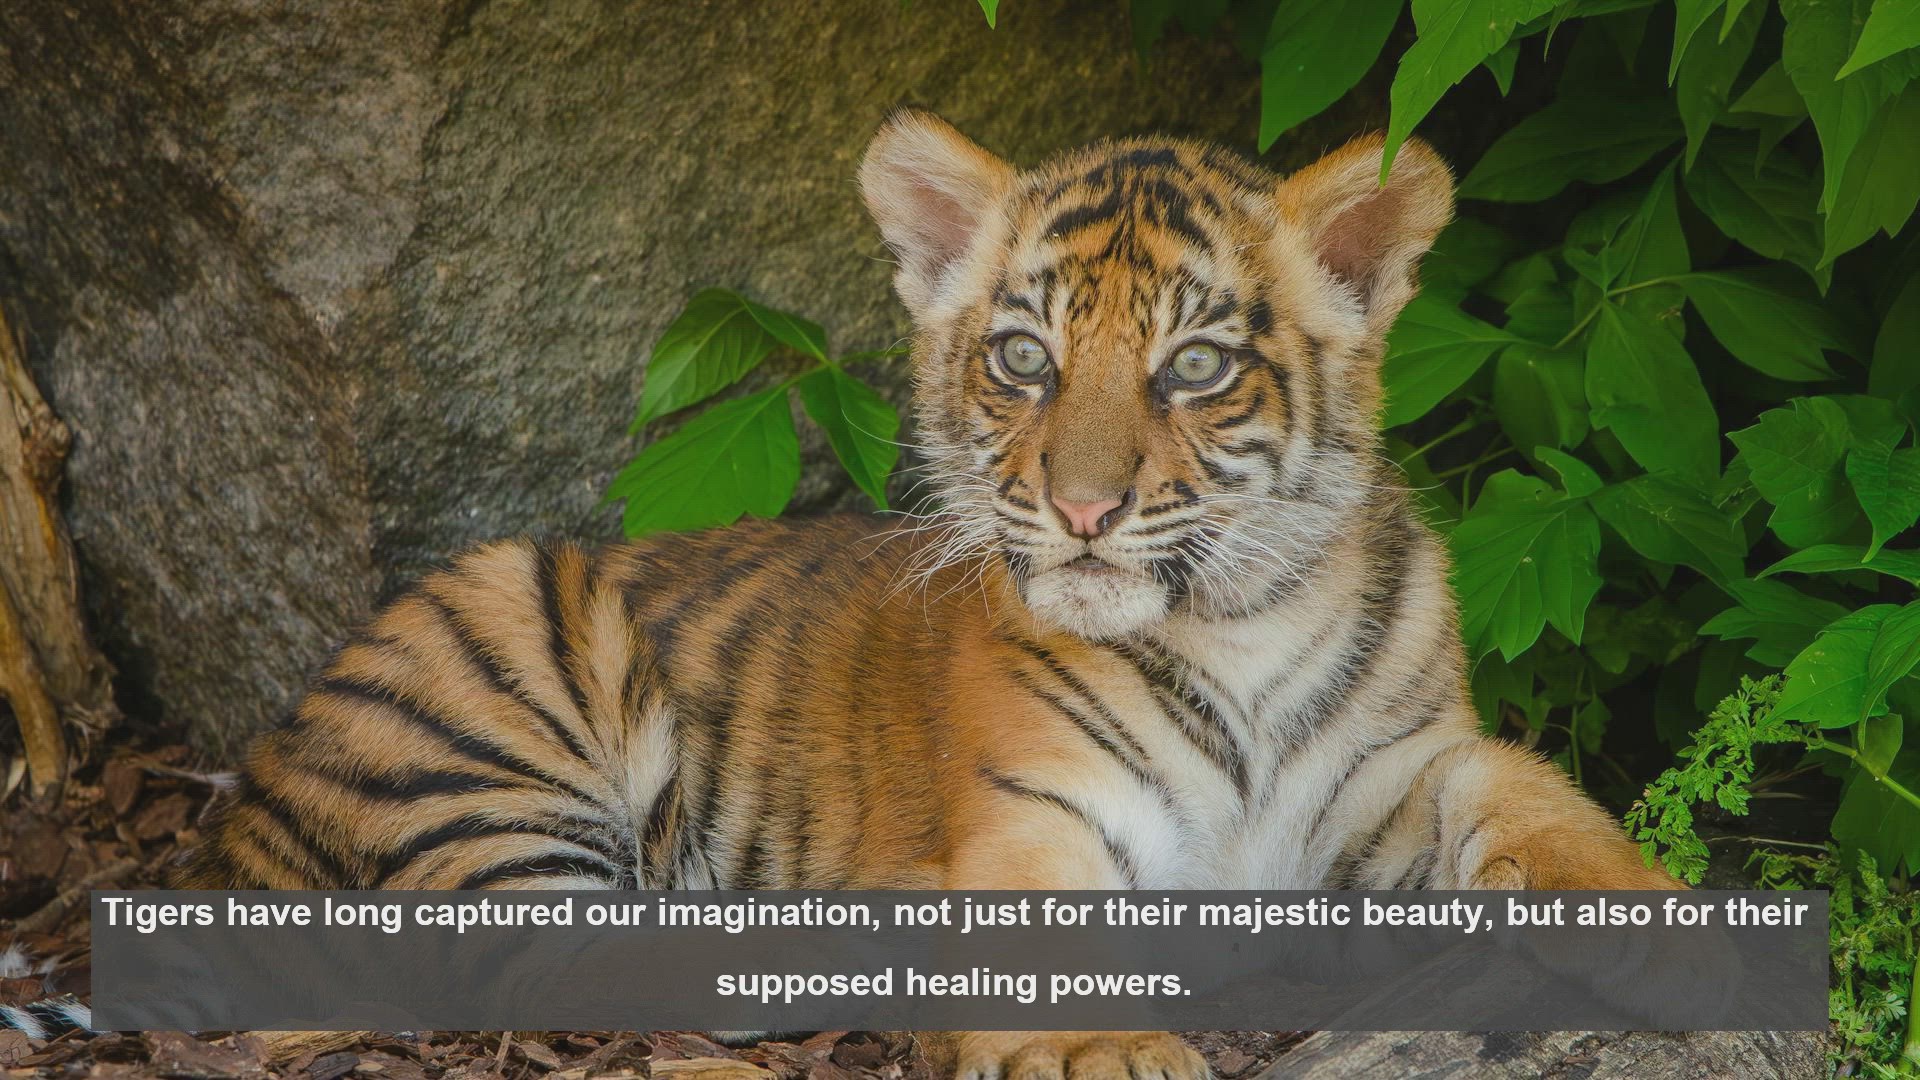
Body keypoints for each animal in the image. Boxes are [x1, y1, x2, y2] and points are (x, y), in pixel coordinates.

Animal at [170, 110, 1680, 1077]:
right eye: (1023, 358)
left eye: (1193, 368)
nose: (1083, 510)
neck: (1236, 625)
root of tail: (240, 800)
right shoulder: (1036, 823)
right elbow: (1045, 953)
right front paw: (1102, 1045)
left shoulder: (1397, 774)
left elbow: (1530, 789)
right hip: (505, 645)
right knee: (540, 954)